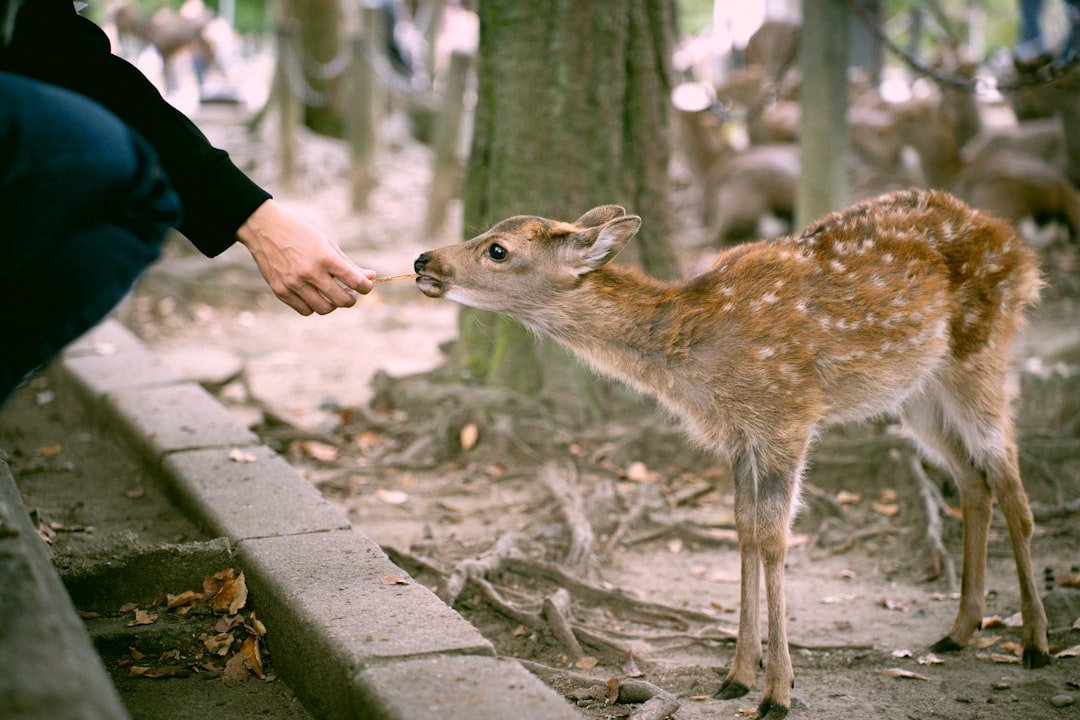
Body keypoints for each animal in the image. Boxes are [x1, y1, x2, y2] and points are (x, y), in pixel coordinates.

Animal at [414, 189, 1051, 719]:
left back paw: (1035, 643)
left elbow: (773, 538)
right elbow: (743, 529)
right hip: (919, 393)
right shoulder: (739, 434)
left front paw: (778, 693)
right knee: (973, 483)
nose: (423, 261)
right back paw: (959, 630)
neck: (697, 363)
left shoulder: (787, 415)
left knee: (1013, 488)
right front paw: (737, 676)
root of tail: (1019, 248)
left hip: (981, 352)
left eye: (497, 249)